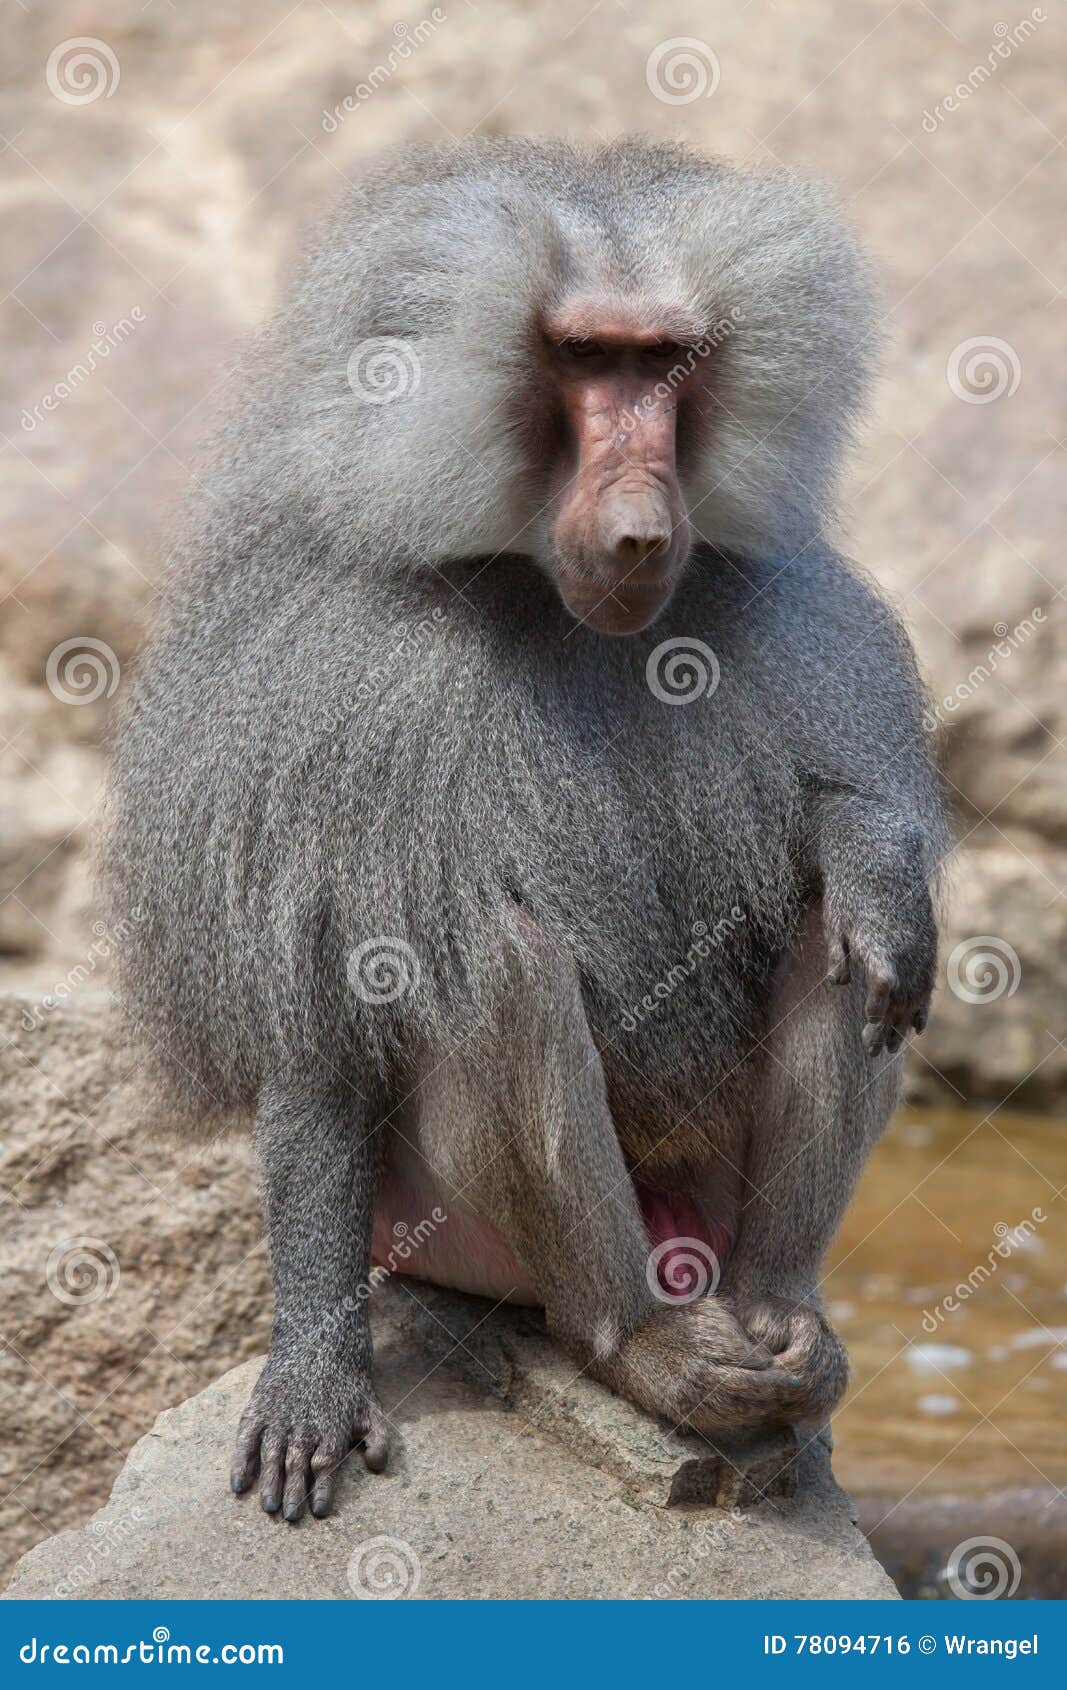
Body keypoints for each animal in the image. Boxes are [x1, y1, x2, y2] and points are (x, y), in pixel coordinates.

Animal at [103, 137, 949, 1525]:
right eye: (582, 357)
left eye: (666, 362)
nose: (642, 523)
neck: (547, 593)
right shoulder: (315, 678)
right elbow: (323, 1014)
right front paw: (313, 1380)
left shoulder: (781, 611)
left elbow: (844, 844)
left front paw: (876, 866)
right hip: (455, 1244)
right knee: (485, 959)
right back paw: (645, 1350)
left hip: (707, 1205)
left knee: (840, 945)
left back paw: (779, 1332)